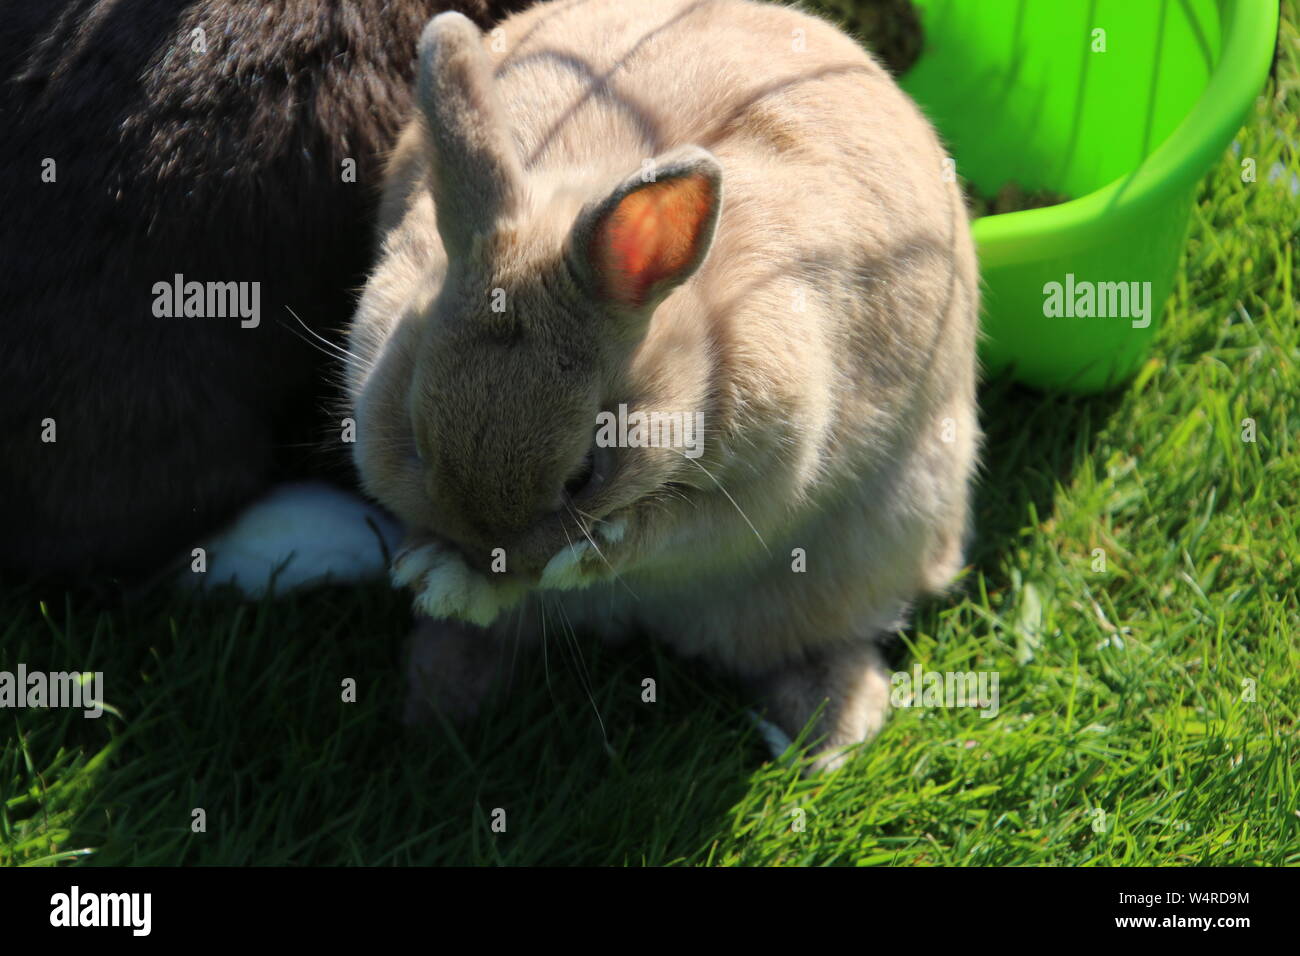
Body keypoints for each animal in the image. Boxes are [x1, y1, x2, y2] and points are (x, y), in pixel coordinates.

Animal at [346, 0, 981, 771]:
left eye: (584, 476)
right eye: (416, 441)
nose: (496, 566)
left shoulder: (764, 480)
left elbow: (677, 527)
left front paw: (584, 557)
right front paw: (435, 576)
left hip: (877, 546)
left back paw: (824, 732)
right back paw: (435, 704)